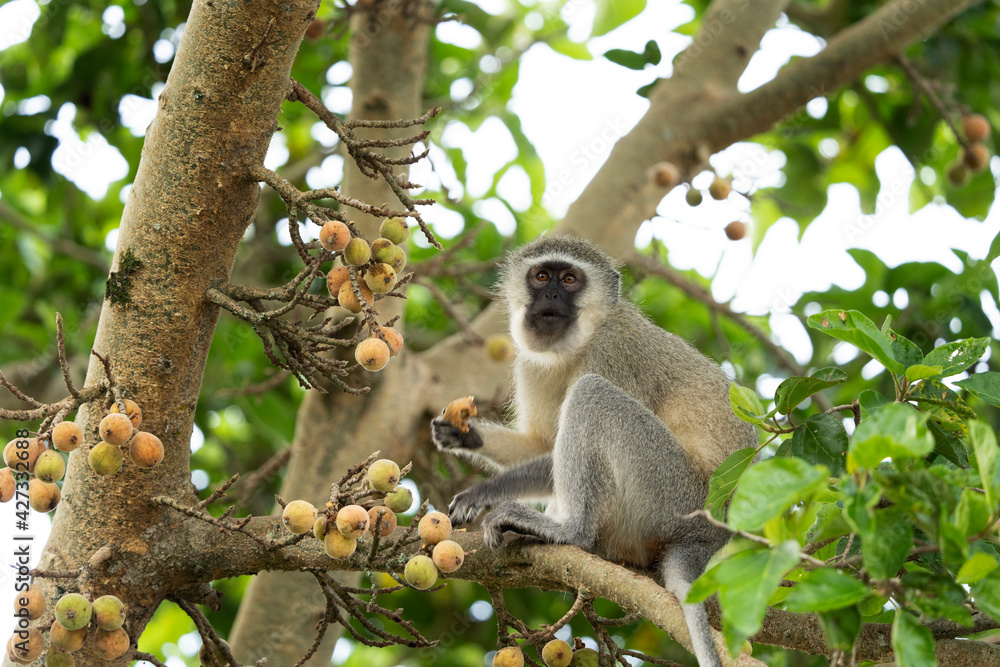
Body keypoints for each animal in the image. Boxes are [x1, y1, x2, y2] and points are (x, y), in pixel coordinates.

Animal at [430, 234, 757, 667]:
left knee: (591, 394)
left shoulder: (614, 351)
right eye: (541, 276)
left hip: (672, 493)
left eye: (569, 279)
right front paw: (462, 433)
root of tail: (709, 537)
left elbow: (559, 443)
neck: (579, 342)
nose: (551, 294)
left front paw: (483, 493)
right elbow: (540, 445)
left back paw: (570, 531)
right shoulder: (530, 363)